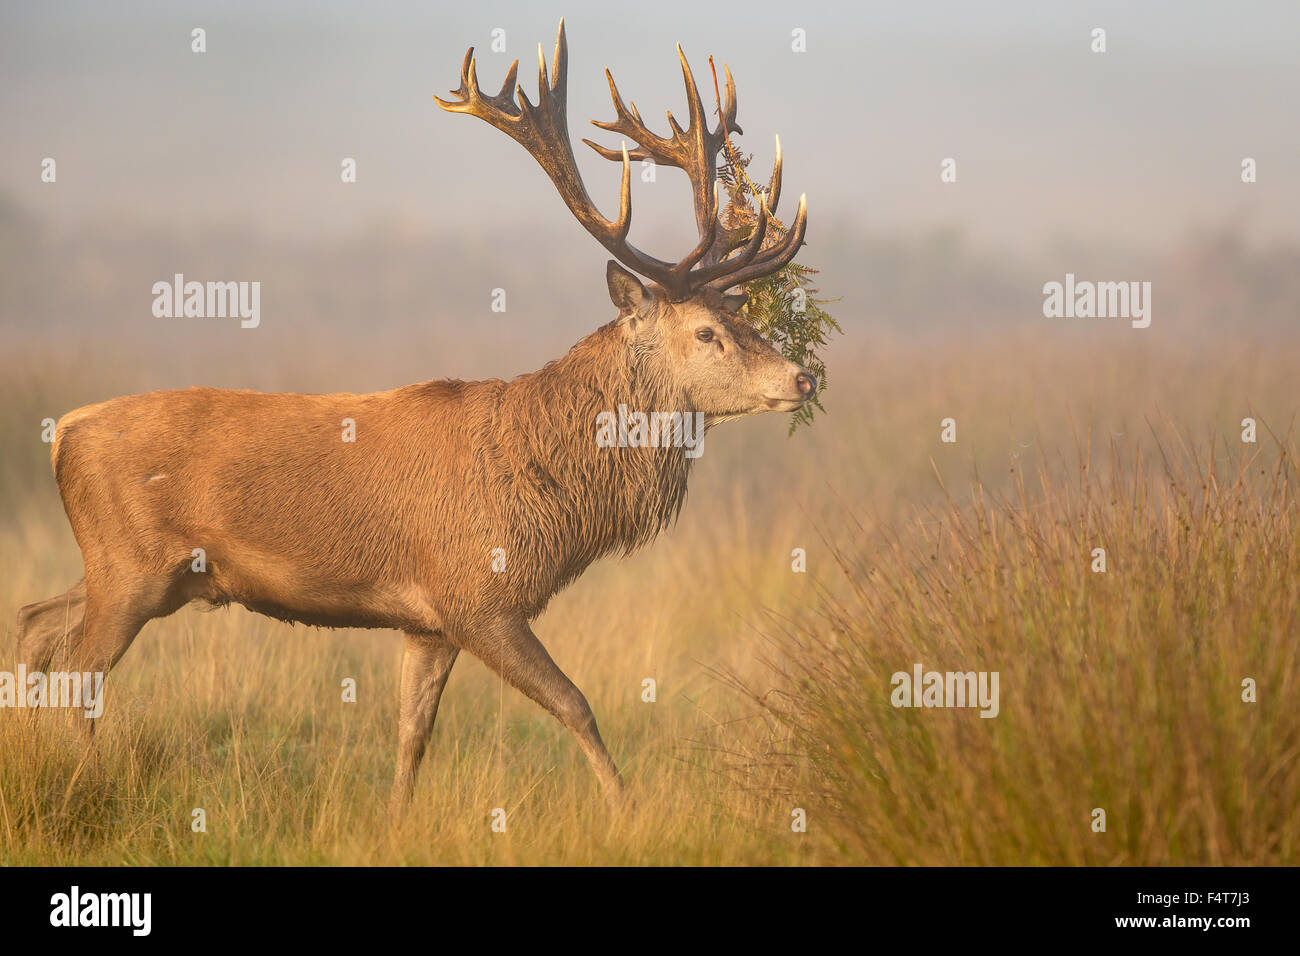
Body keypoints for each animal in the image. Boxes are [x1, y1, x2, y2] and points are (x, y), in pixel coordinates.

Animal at [15, 20, 816, 811]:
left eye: (738, 316)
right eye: (706, 333)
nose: (803, 377)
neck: (548, 490)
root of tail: (64, 434)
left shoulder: (426, 623)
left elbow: (412, 736)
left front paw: (397, 821)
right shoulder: (477, 597)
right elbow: (576, 704)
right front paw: (626, 811)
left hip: (135, 571)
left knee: (35, 625)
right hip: (132, 566)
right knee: (79, 668)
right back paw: (88, 780)